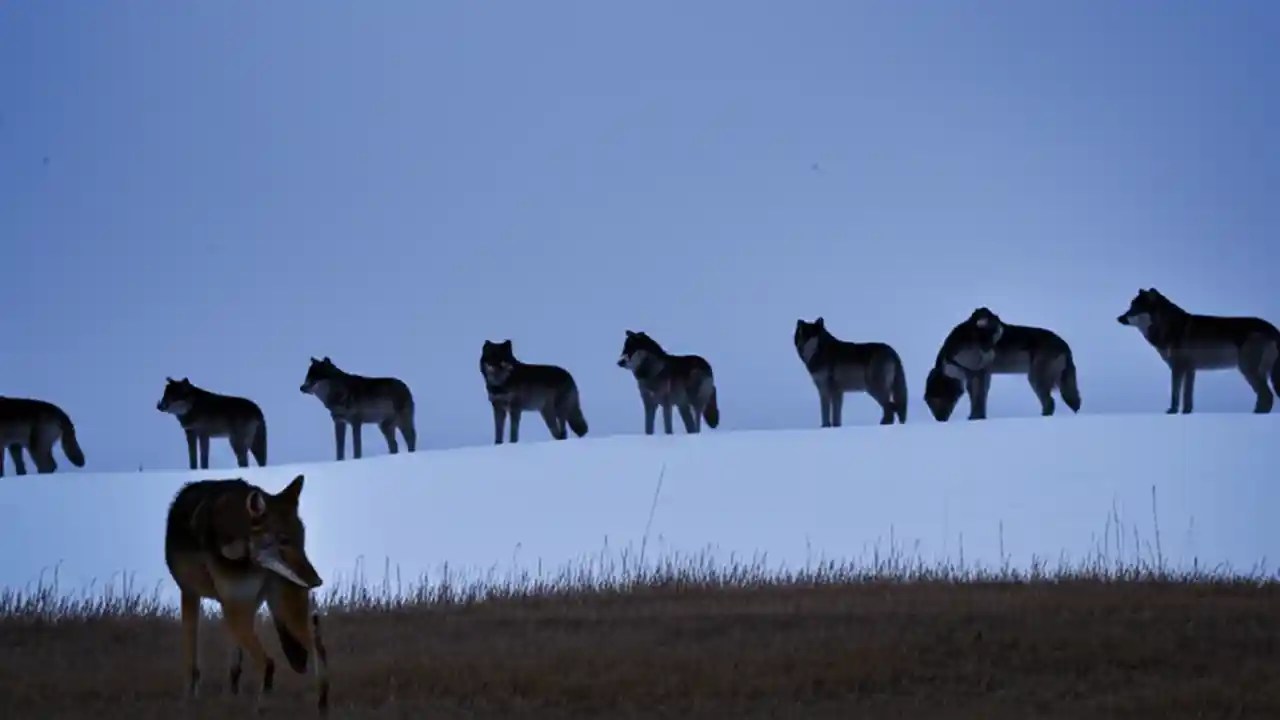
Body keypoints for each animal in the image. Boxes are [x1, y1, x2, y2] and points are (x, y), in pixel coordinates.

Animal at [164, 474, 329, 712]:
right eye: (285, 541)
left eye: (302, 540)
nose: (317, 581)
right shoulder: (241, 604)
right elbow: (235, 663)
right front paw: (231, 695)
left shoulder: (193, 594)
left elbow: (191, 661)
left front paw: (189, 700)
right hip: (287, 609)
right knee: (319, 651)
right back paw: (322, 705)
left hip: (240, 610)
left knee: (268, 662)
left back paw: (261, 708)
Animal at [924, 307, 1081, 421]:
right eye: (928, 402)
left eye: (933, 400)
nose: (939, 420)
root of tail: (1065, 346)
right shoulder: (984, 374)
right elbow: (981, 397)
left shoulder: (975, 373)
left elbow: (976, 397)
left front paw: (975, 418)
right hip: (1061, 380)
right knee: (1072, 400)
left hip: (1037, 377)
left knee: (1050, 402)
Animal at [1117, 287, 1280, 414]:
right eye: (1130, 307)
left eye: (1135, 309)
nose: (1119, 318)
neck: (1169, 327)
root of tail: (1273, 328)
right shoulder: (1190, 370)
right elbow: (1188, 398)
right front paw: (1186, 413)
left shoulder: (1178, 368)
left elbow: (1175, 394)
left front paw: (1172, 412)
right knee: (1265, 398)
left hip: (1247, 369)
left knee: (1267, 396)